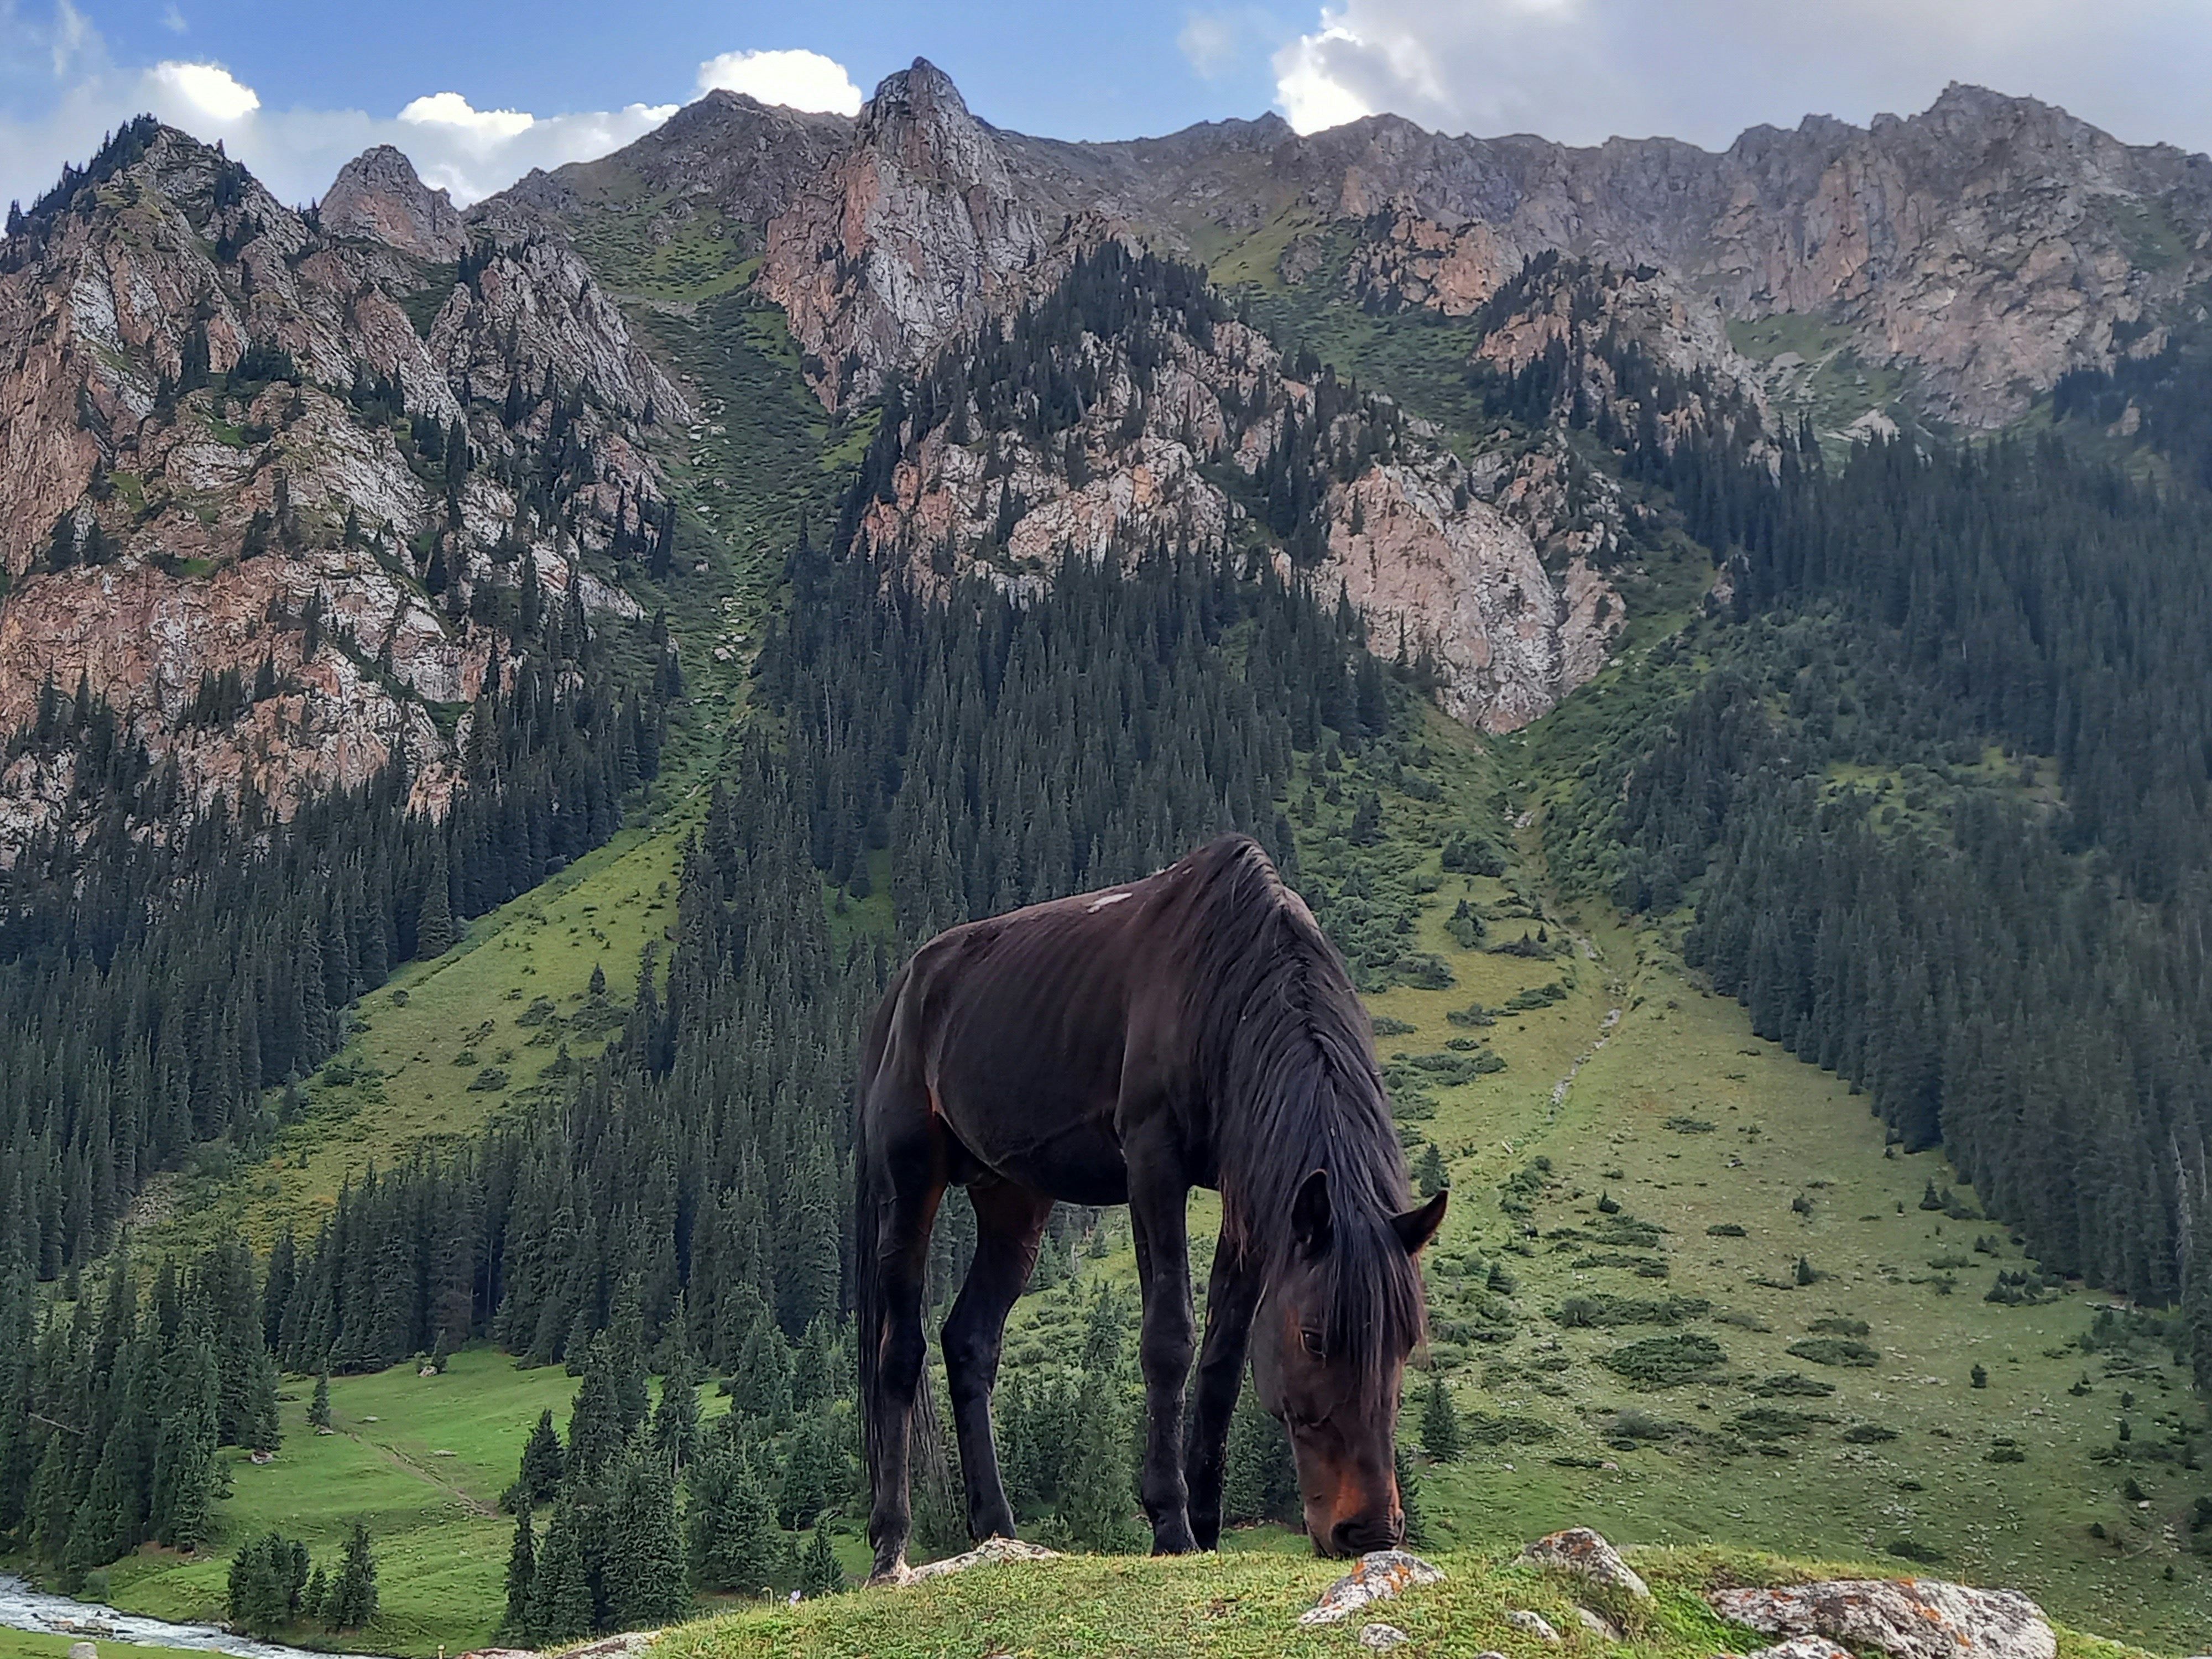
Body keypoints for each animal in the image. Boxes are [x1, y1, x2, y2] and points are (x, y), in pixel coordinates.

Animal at [854, 832, 1447, 1580]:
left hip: (1012, 1198)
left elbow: (1222, 1360)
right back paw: (890, 1545)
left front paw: (1206, 1525)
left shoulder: (1253, 1205)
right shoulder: (1153, 1165)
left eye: (1405, 1341)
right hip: (909, 1184)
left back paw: (997, 1531)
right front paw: (1170, 1523)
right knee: (899, 1351)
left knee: (970, 1342)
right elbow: (1169, 1340)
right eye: (1314, 1338)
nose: (1368, 1532)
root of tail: (906, 984)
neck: (1227, 990)